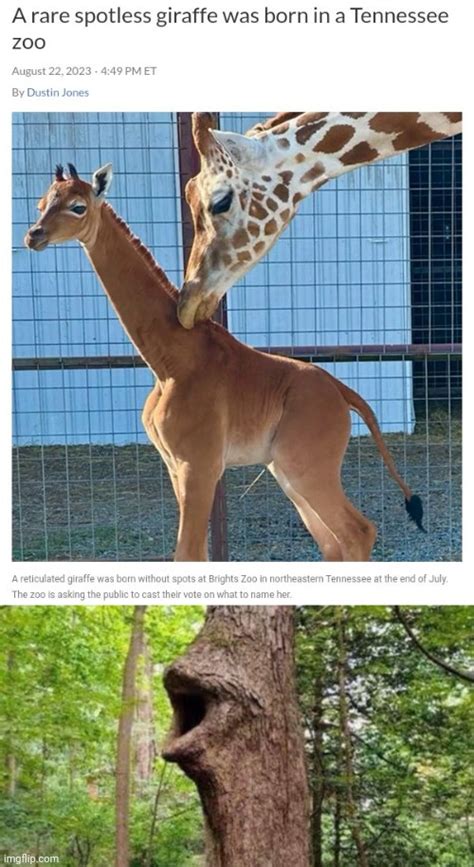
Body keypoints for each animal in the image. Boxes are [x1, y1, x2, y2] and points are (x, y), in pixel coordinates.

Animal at [25, 162, 426, 562]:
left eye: (78, 207)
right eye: (41, 204)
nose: (34, 236)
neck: (169, 361)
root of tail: (343, 393)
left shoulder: (198, 465)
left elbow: (187, 553)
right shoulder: (176, 466)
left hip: (305, 466)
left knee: (357, 532)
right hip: (286, 470)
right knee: (333, 543)